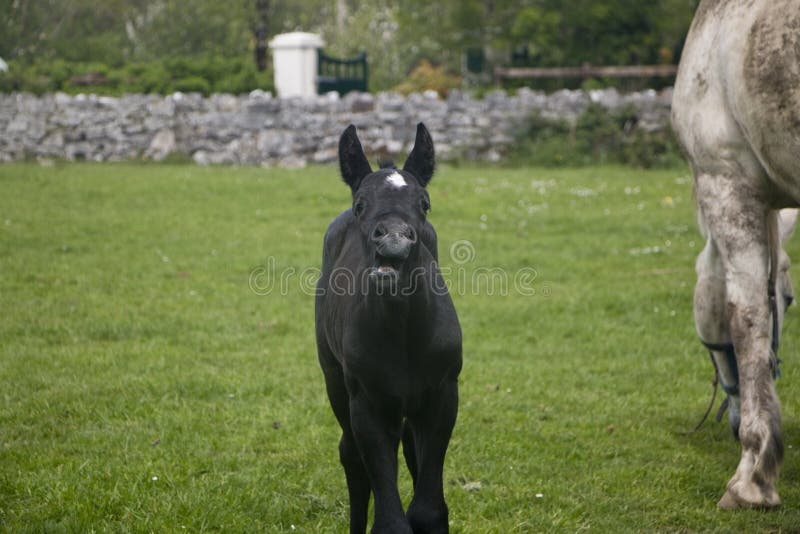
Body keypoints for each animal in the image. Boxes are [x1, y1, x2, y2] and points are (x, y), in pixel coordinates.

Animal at [315, 123, 463, 533]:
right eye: (360, 204)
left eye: (424, 203)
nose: (394, 238)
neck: (404, 331)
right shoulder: (367, 404)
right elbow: (391, 519)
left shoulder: (443, 395)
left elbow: (428, 509)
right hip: (335, 381)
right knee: (351, 457)